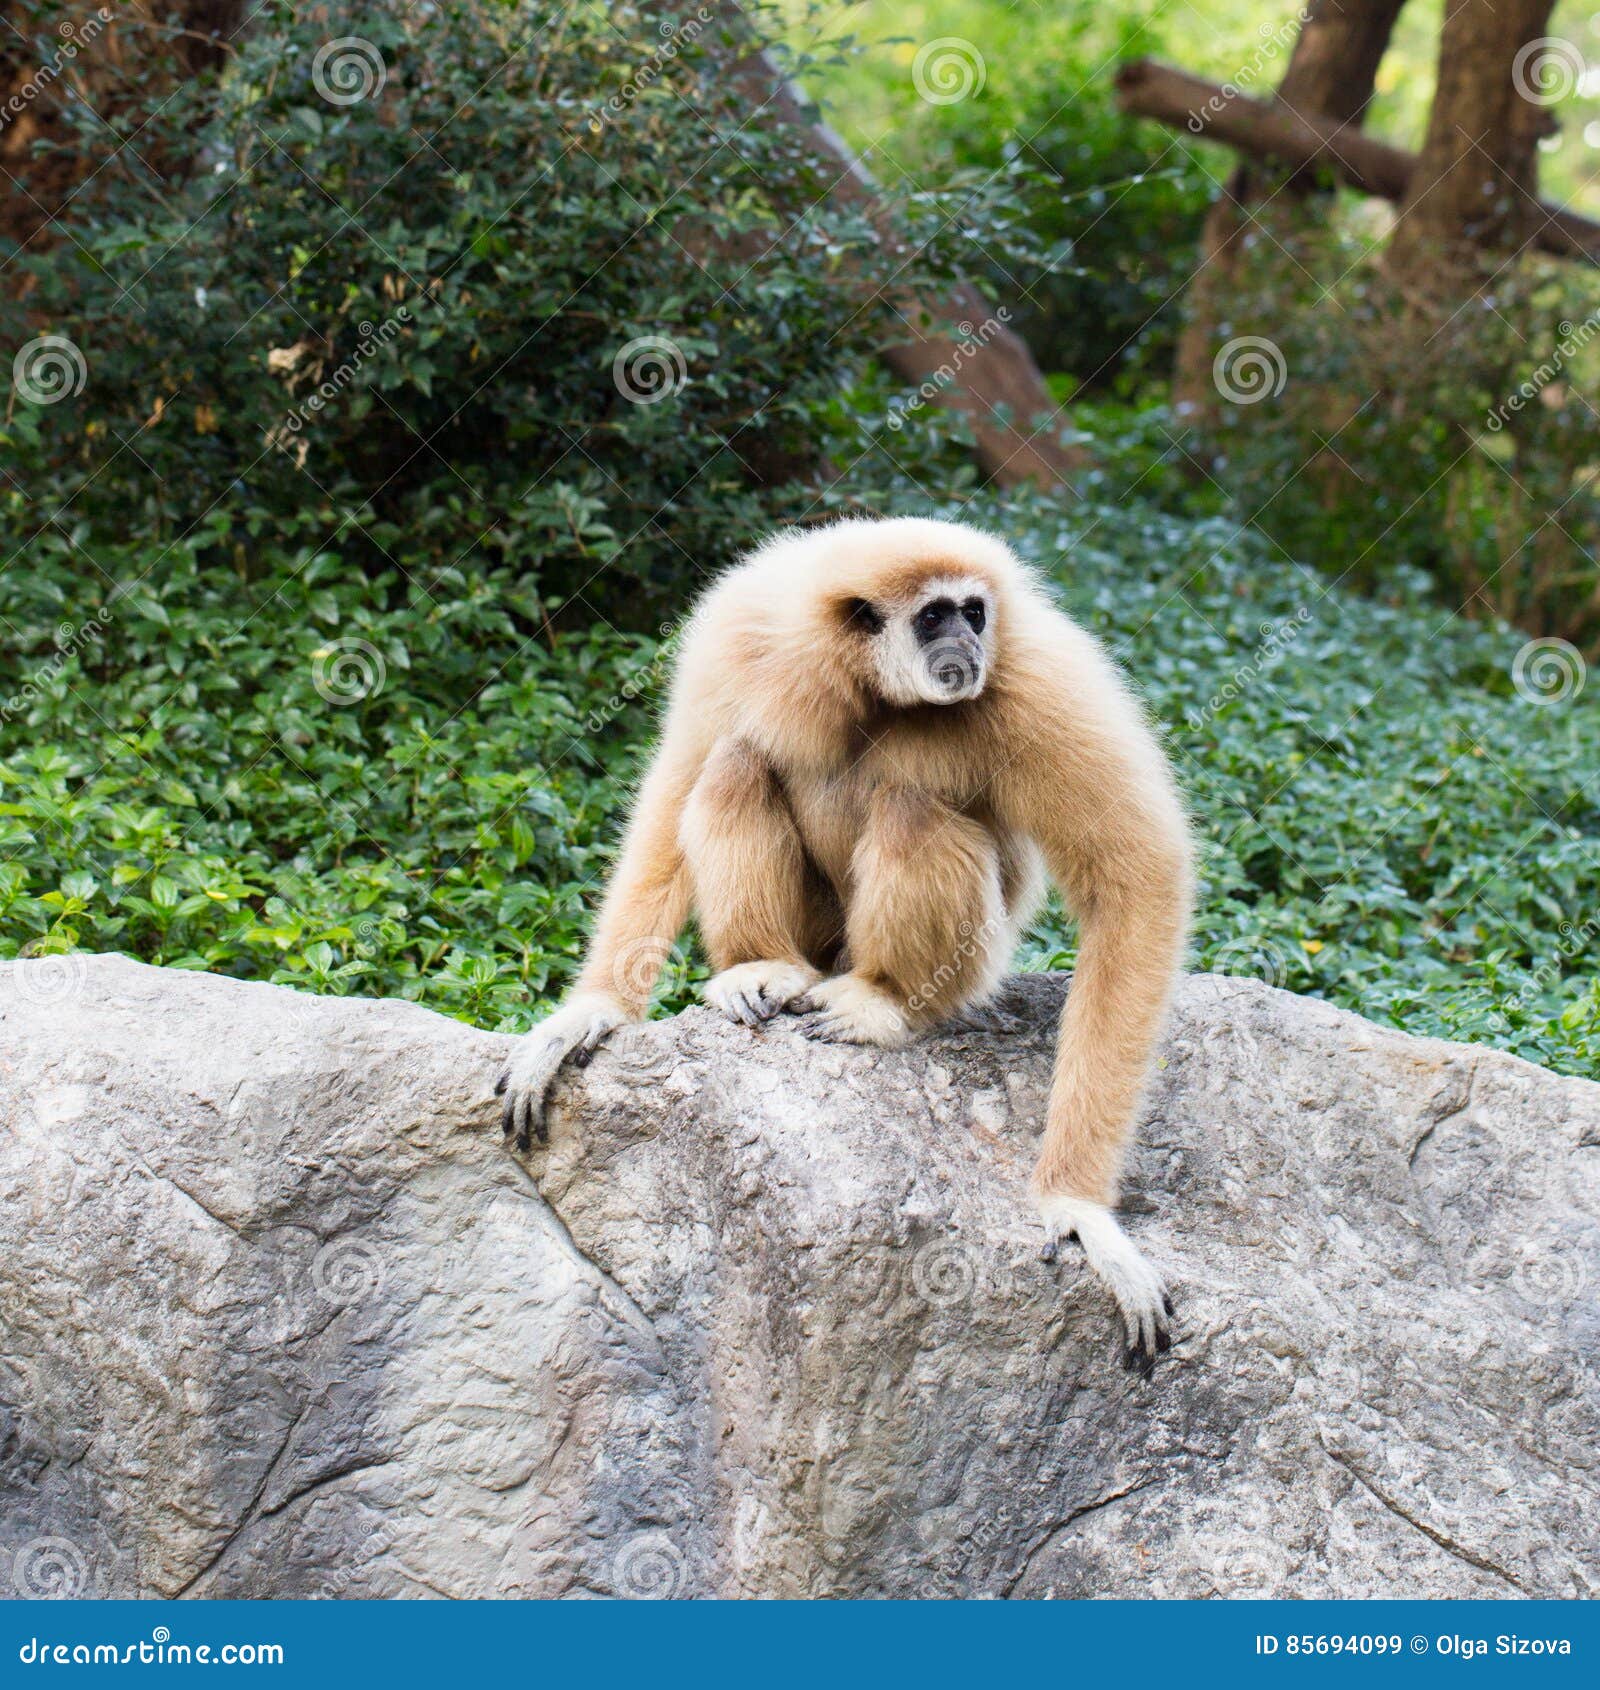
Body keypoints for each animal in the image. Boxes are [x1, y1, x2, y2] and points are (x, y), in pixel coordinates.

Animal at [495, 516, 1195, 1371]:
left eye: (974, 610)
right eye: (934, 616)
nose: (966, 636)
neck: (871, 684)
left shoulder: (1039, 679)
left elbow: (1135, 882)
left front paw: (1080, 1212)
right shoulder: (738, 633)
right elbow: (676, 780)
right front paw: (587, 1014)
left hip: (976, 956)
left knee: (909, 807)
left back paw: (884, 1001)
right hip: (815, 932)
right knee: (734, 760)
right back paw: (762, 968)